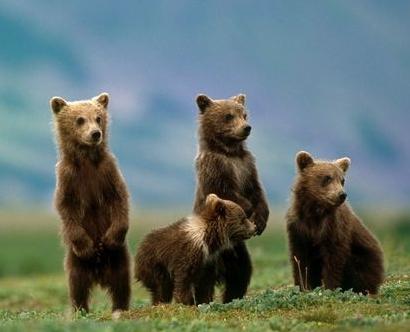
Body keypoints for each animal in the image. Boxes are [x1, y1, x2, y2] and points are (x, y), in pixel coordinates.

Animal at [49, 92, 131, 314]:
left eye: (98, 117)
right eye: (79, 119)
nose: (95, 134)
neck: (86, 160)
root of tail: (99, 273)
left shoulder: (107, 173)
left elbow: (119, 200)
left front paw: (111, 237)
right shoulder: (68, 179)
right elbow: (66, 209)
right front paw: (86, 245)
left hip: (119, 257)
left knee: (122, 283)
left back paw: (120, 308)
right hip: (76, 261)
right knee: (77, 285)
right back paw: (80, 309)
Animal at [192, 93, 270, 304]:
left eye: (244, 114)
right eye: (228, 116)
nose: (246, 127)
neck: (230, 152)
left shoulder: (247, 166)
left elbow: (257, 192)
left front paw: (261, 220)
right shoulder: (215, 167)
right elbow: (225, 192)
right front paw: (248, 210)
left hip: (237, 252)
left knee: (241, 273)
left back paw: (232, 297)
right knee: (204, 281)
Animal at [286, 152, 384, 294]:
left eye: (342, 180)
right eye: (327, 178)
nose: (341, 194)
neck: (315, 212)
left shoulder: (333, 227)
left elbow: (334, 259)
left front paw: (330, 287)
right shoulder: (298, 227)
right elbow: (300, 259)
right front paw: (304, 286)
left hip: (364, 258)